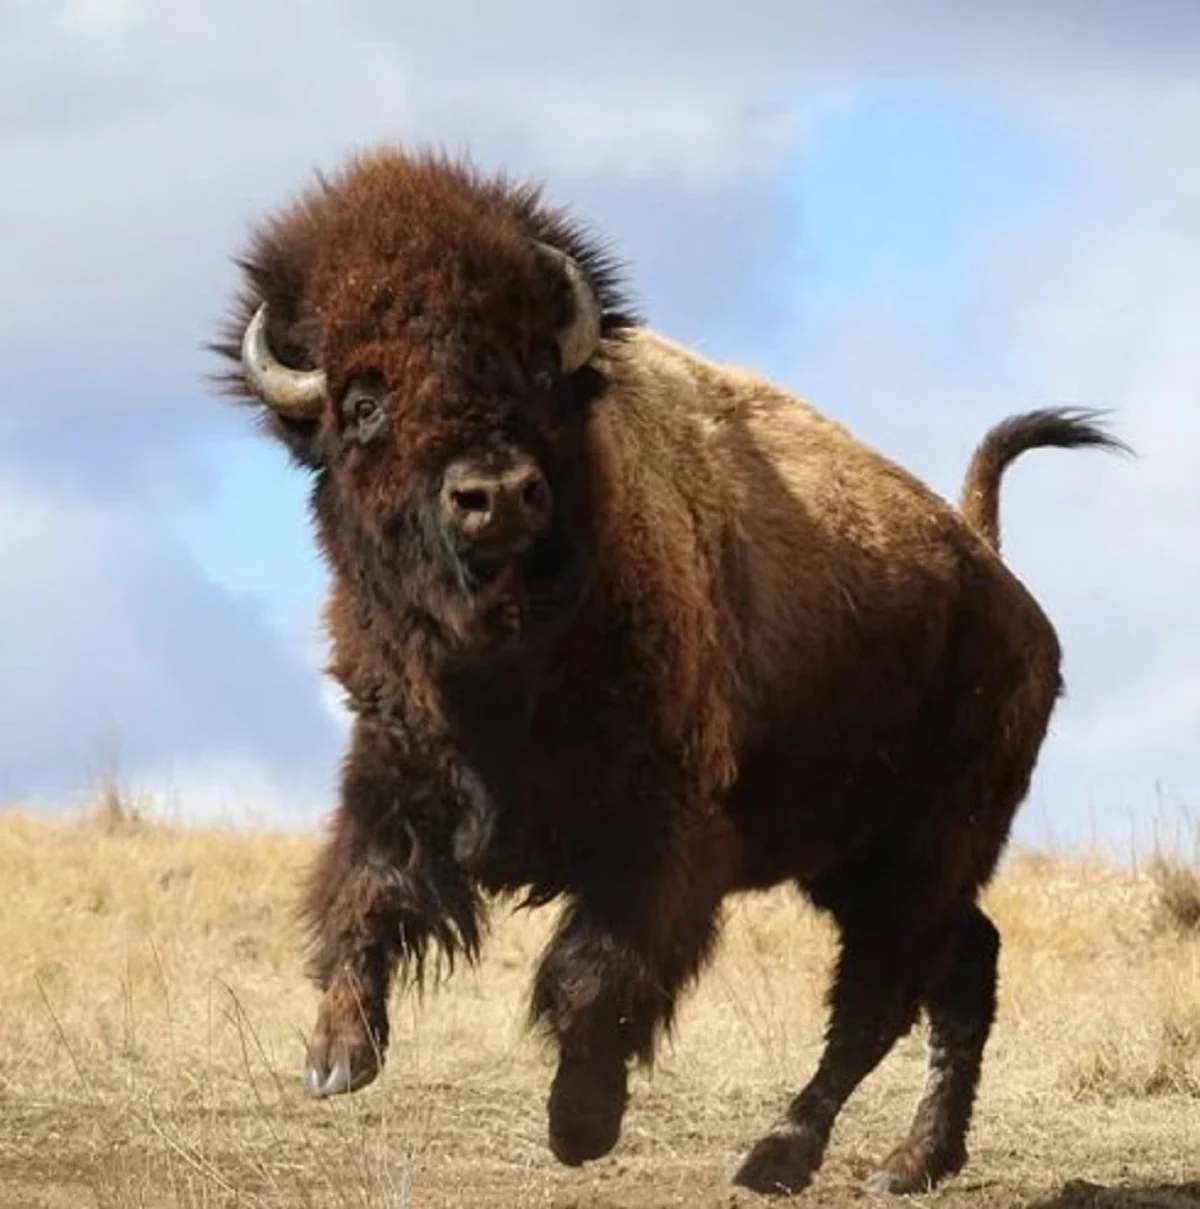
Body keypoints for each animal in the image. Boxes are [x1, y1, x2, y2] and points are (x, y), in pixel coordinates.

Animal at [211, 145, 1126, 1196]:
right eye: (363, 403)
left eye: (536, 368)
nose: (498, 493)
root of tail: (994, 570)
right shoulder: (396, 766)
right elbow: (363, 891)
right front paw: (336, 1059)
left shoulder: (662, 829)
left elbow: (593, 974)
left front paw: (580, 1124)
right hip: (860, 855)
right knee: (963, 964)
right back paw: (910, 1161)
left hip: (922, 847)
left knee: (882, 995)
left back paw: (780, 1155)